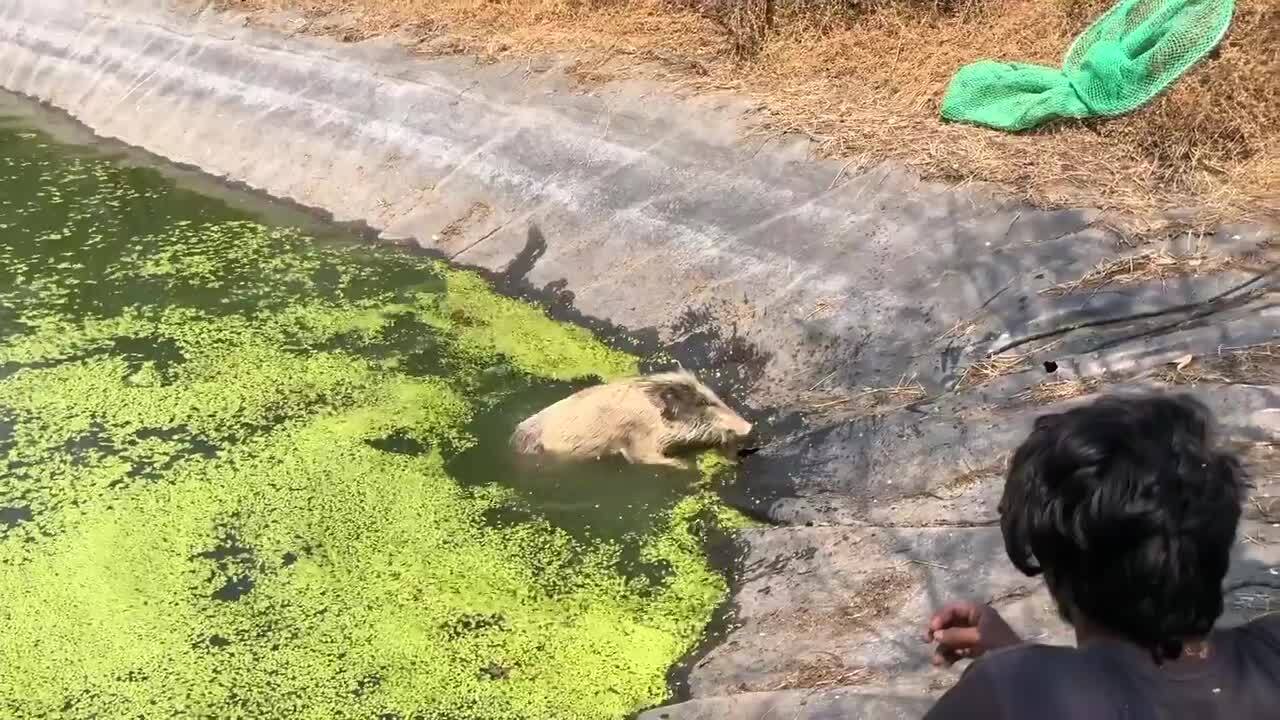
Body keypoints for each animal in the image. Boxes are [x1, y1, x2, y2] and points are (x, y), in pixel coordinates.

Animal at [510, 370, 753, 469]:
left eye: (715, 398)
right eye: (702, 403)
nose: (750, 426)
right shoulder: (640, 439)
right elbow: (642, 457)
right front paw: (688, 466)